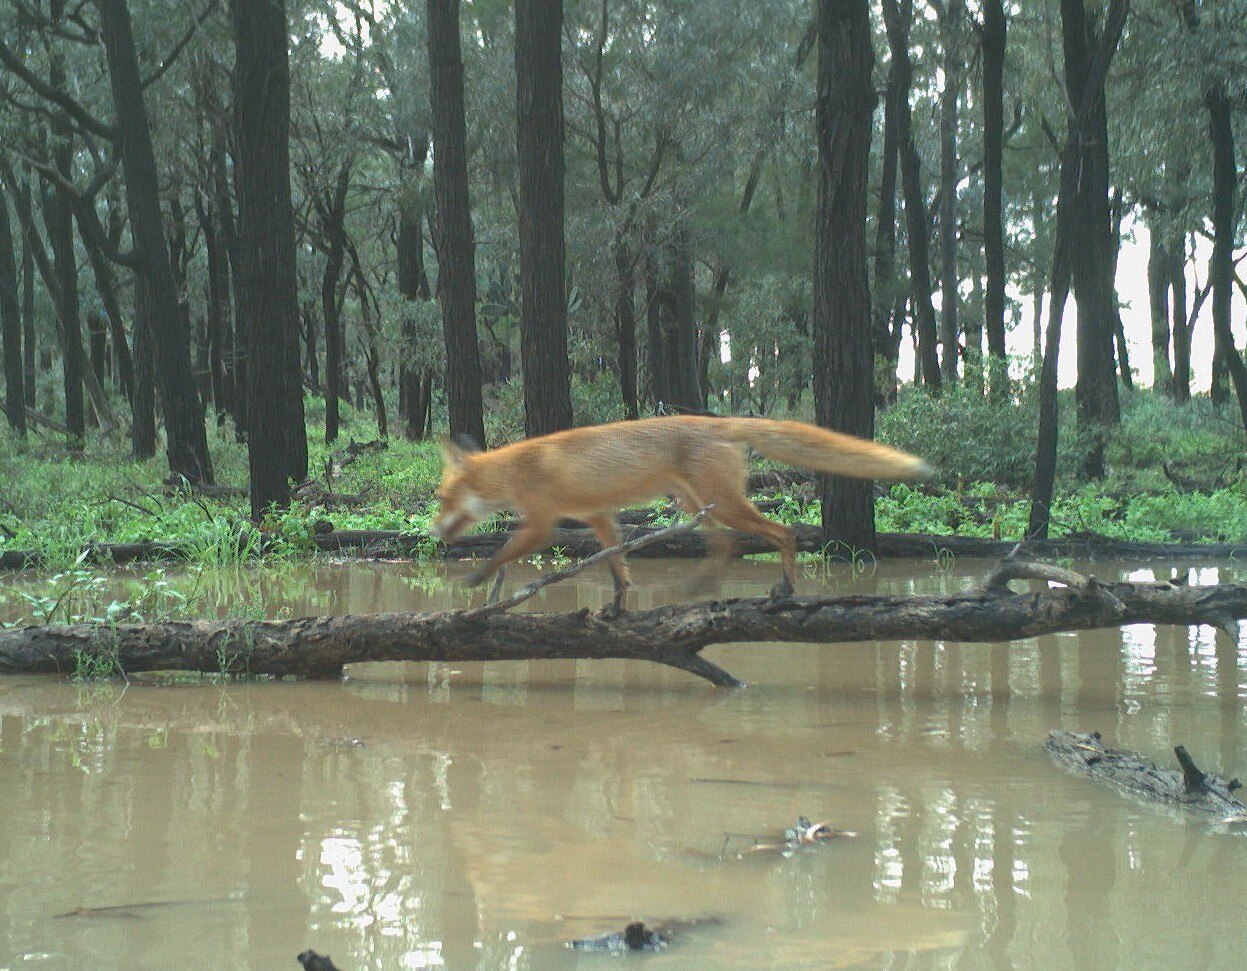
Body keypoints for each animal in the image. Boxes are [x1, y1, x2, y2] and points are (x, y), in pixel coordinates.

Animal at [431, 416, 931, 613]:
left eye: (441, 498)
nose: (436, 533)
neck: (517, 469)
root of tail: (715, 420)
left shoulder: (542, 524)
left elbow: (502, 552)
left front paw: (474, 580)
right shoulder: (600, 518)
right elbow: (618, 569)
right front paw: (618, 608)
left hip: (721, 504)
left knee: (783, 531)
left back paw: (785, 589)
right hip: (695, 506)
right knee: (726, 545)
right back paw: (700, 587)